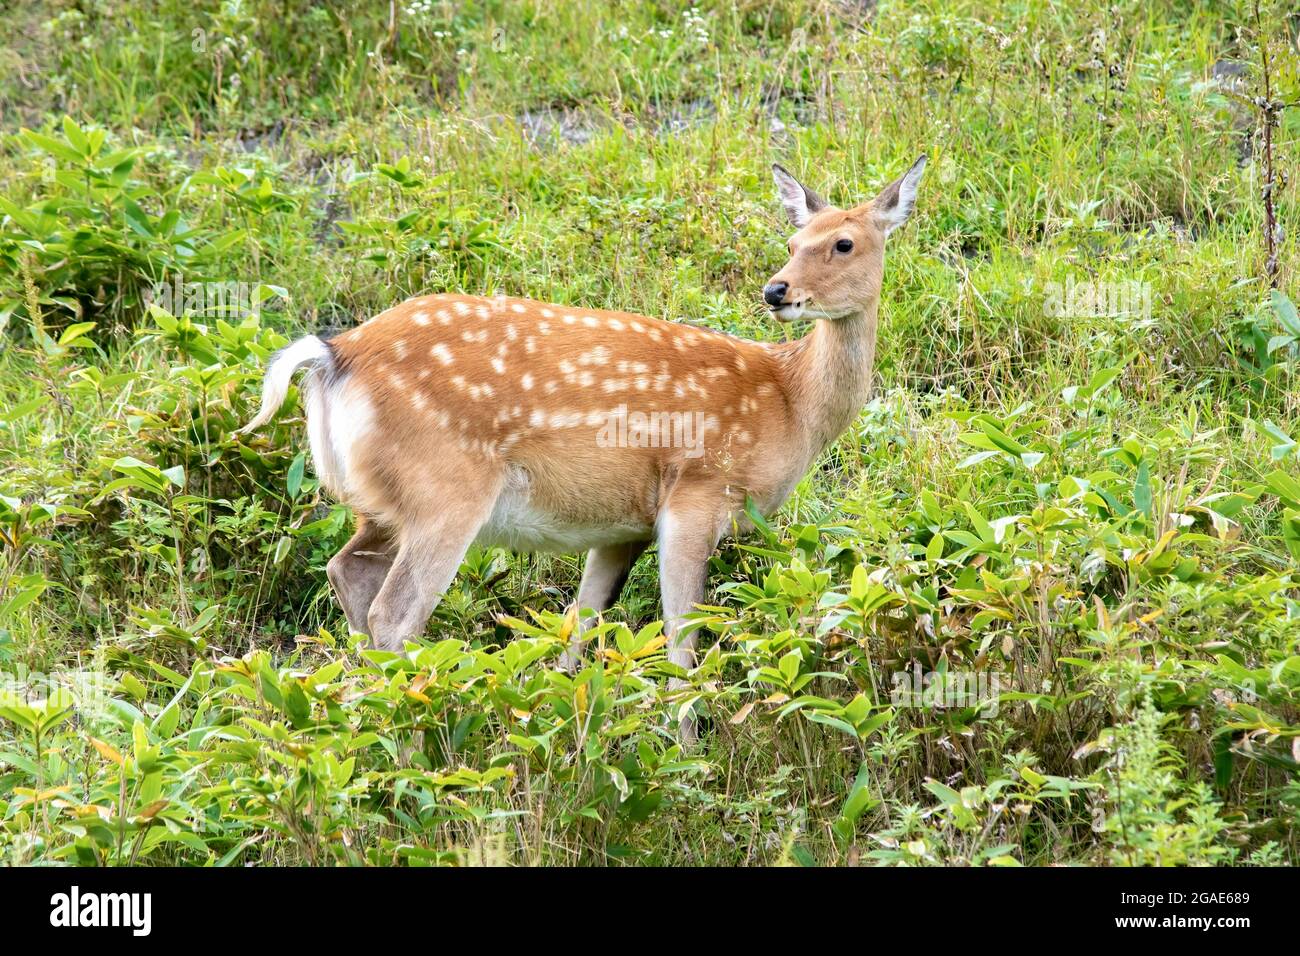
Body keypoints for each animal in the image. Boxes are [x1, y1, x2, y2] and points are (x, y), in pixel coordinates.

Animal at [238, 156, 926, 739]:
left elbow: (584, 618)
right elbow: (680, 632)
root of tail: (333, 355)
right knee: (394, 613)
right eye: (792, 243)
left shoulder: (624, 523)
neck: (788, 403)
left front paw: (559, 714)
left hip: (383, 502)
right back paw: (410, 728)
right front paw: (686, 747)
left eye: (843, 242)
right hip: (446, 490)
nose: (777, 291)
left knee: (347, 569)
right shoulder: (697, 492)